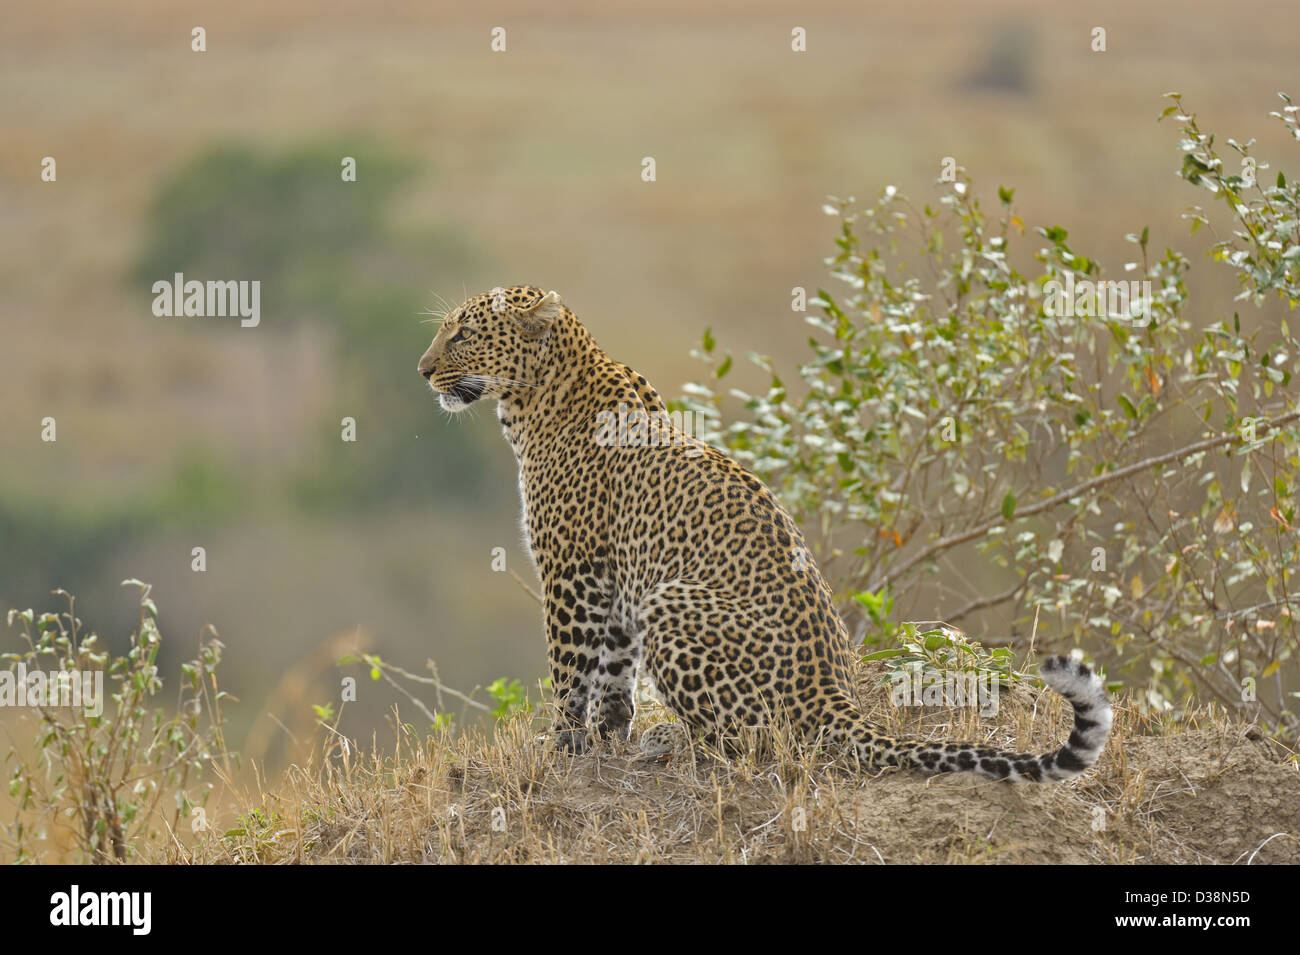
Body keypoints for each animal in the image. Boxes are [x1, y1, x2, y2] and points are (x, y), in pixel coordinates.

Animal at [418, 285, 1112, 782]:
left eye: (464, 334)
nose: (422, 370)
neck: (533, 401)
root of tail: (833, 696)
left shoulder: (573, 570)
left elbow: (570, 669)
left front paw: (561, 747)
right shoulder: (614, 578)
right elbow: (613, 673)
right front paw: (608, 739)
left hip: (672, 600)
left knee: (758, 742)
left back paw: (676, 742)